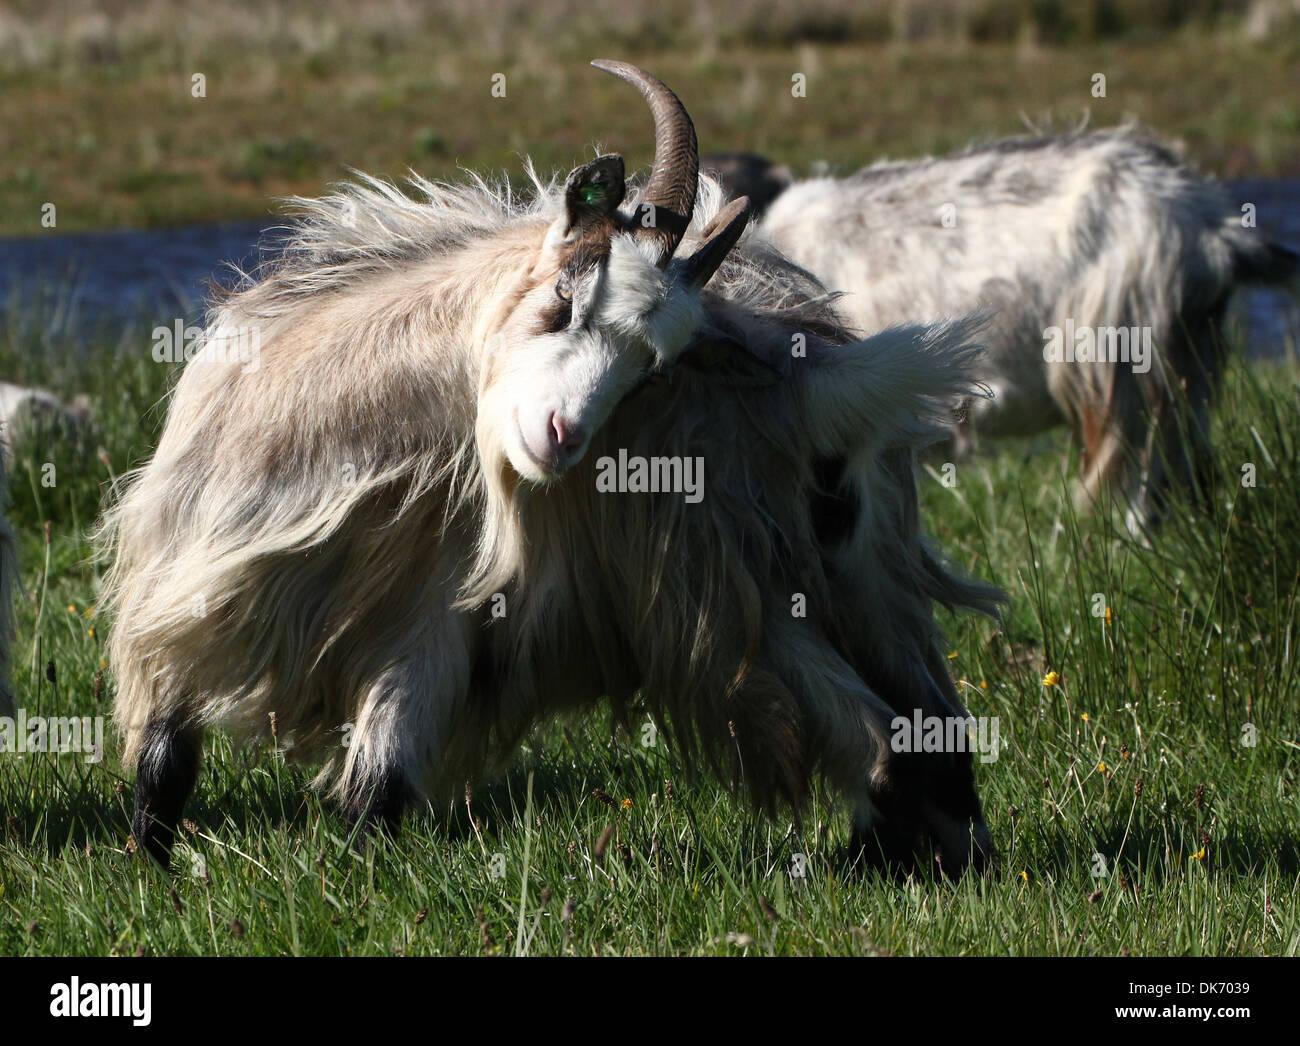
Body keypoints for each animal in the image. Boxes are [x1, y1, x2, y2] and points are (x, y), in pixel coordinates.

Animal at [103, 63, 1001, 875]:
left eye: (649, 374)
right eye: (566, 298)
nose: (564, 435)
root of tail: (809, 385)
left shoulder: (420, 612)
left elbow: (372, 783)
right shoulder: (225, 599)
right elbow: (193, 761)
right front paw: (153, 868)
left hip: (729, 593)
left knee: (883, 741)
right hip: (855, 587)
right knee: (926, 727)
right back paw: (941, 859)